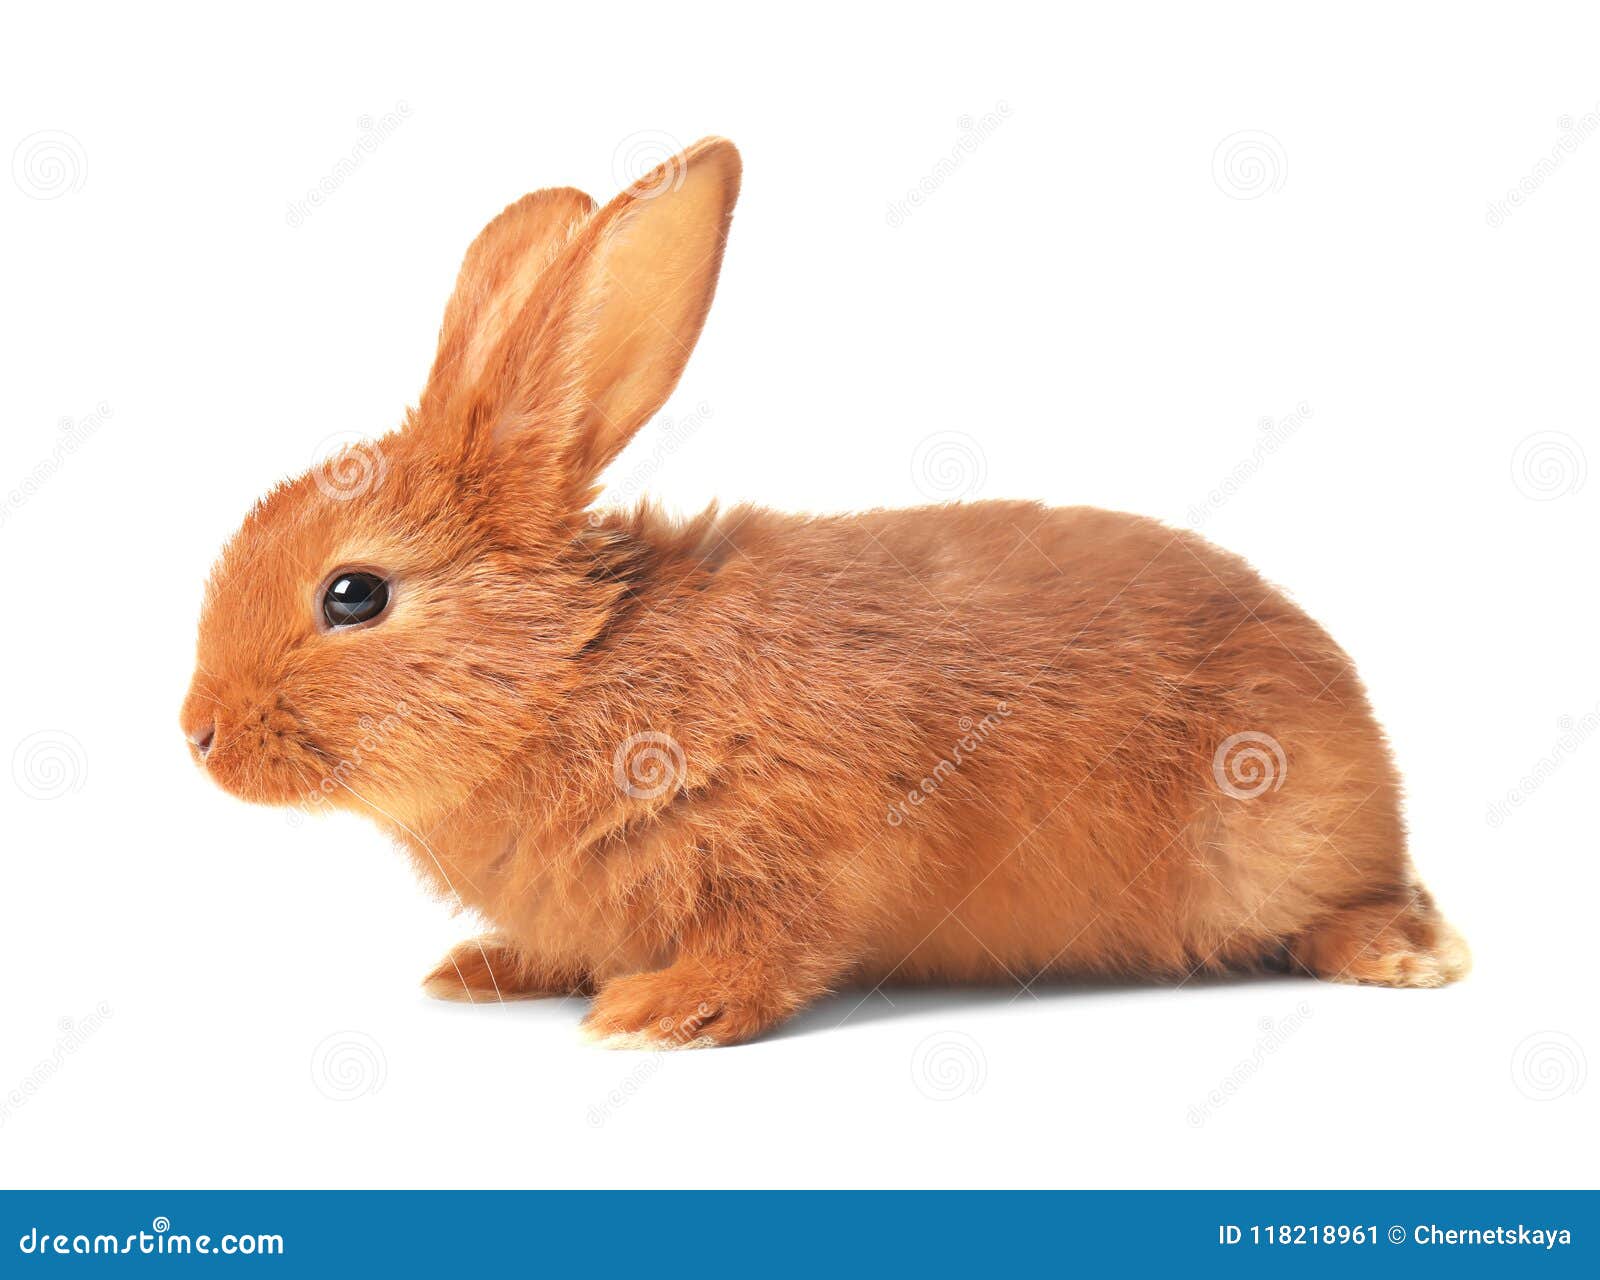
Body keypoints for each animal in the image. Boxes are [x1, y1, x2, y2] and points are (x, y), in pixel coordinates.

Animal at [180, 136, 1468, 1048]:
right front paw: (489, 971)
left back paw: (1410, 957)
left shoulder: (787, 847)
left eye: (354, 593)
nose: (198, 734)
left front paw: (654, 1016)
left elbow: (772, 949)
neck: (571, 666)